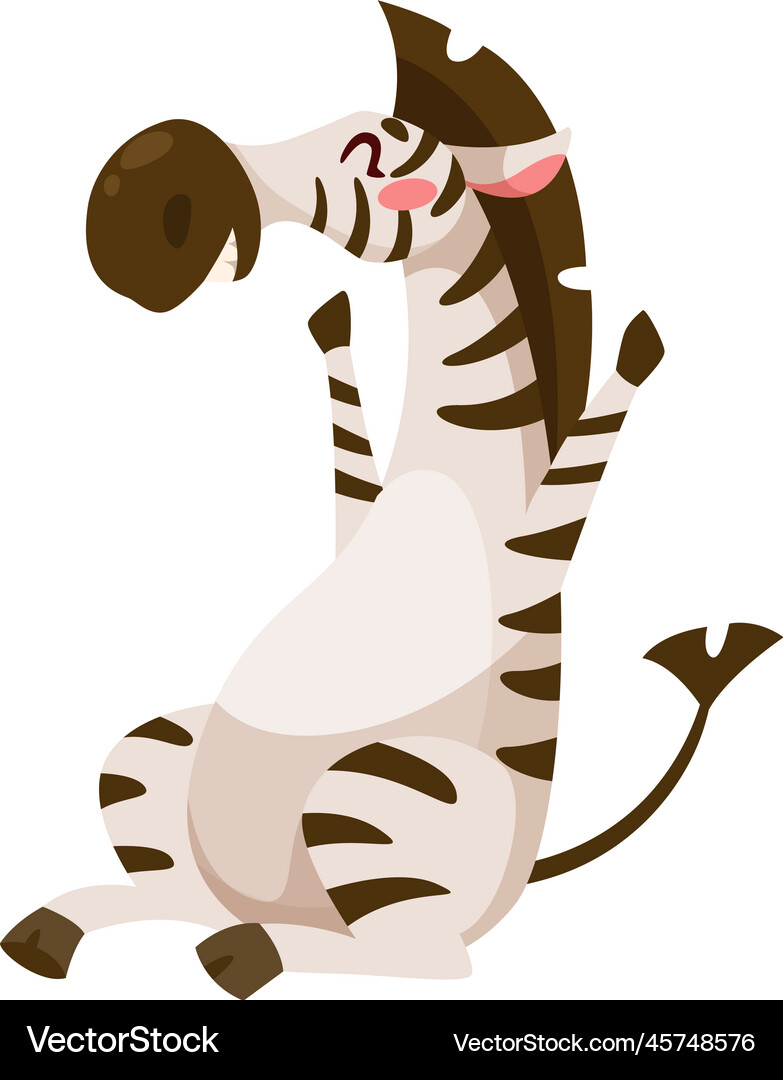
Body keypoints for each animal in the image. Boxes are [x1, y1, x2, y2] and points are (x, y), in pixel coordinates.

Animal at [2, 2, 779, 999]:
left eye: (374, 155)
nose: (146, 189)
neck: (443, 493)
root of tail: (521, 875)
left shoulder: (531, 564)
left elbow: (580, 471)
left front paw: (638, 349)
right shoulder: (362, 511)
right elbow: (350, 457)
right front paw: (329, 330)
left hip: (372, 793)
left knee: (421, 957)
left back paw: (245, 953)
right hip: (157, 754)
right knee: (187, 891)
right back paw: (65, 926)